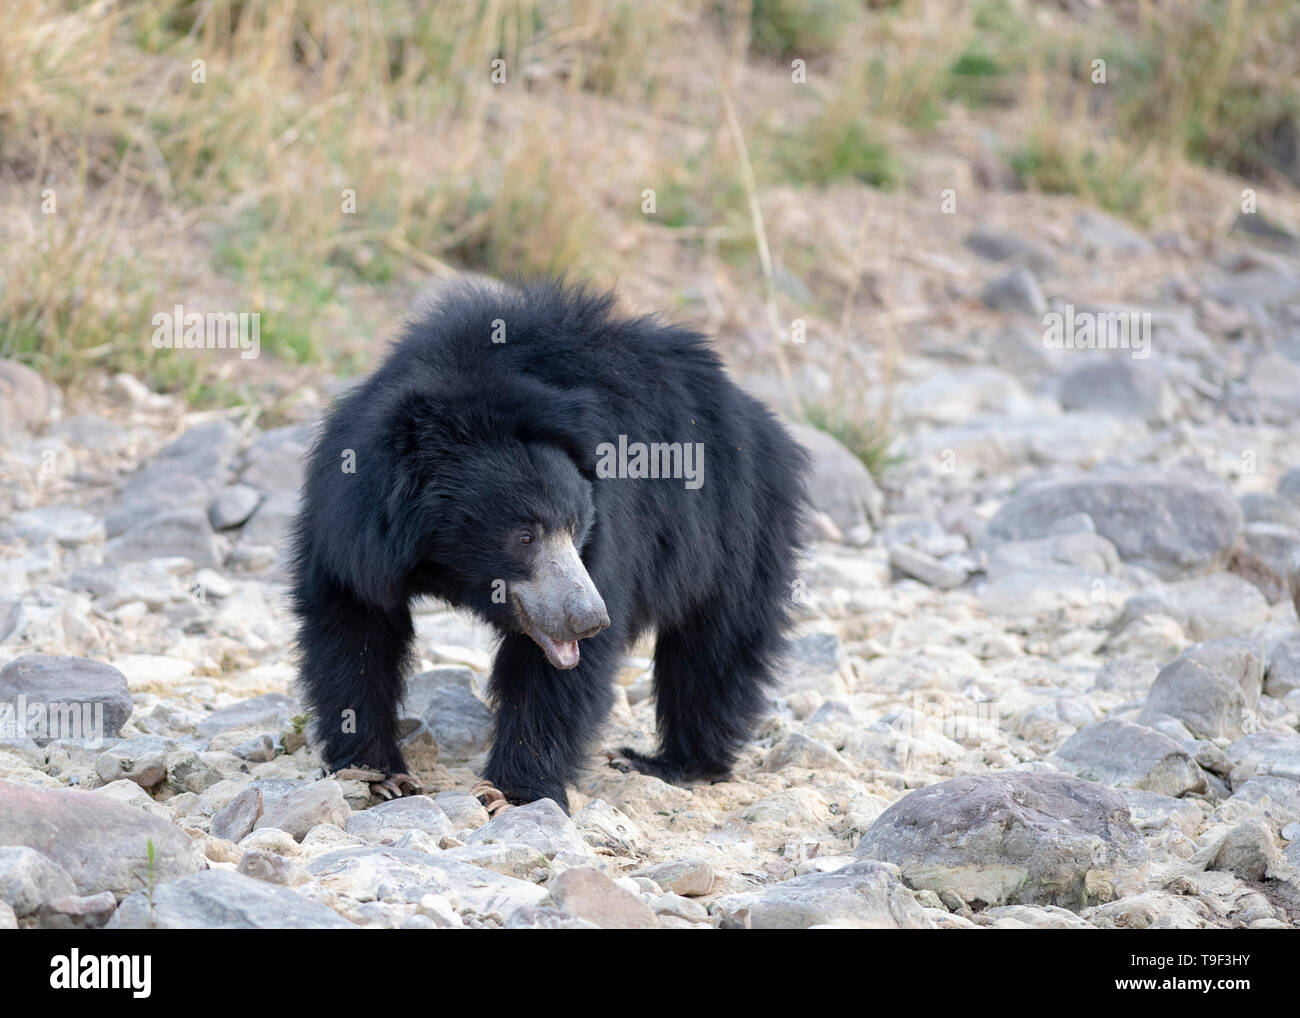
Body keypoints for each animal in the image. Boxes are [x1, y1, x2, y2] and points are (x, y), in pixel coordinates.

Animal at [290, 280, 807, 810]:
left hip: (737, 526)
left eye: (577, 528)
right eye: (524, 536)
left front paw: (511, 792)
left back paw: (668, 763)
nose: (588, 620)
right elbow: (354, 625)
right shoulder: (351, 525)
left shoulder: (612, 525)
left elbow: (555, 673)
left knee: (715, 649)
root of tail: (760, 420)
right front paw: (378, 774)